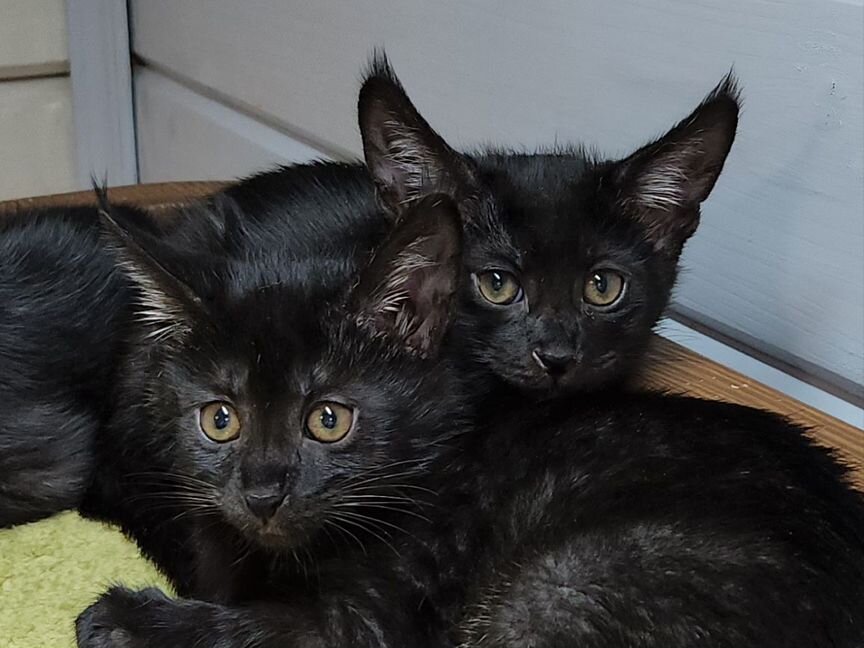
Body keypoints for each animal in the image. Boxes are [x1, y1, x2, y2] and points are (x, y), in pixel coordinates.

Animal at [75, 192, 864, 648]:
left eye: (328, 420)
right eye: (220, 419)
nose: (263, 491)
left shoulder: (372, 620)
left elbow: (260, 630)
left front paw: (125, 621)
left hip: (564, 589)